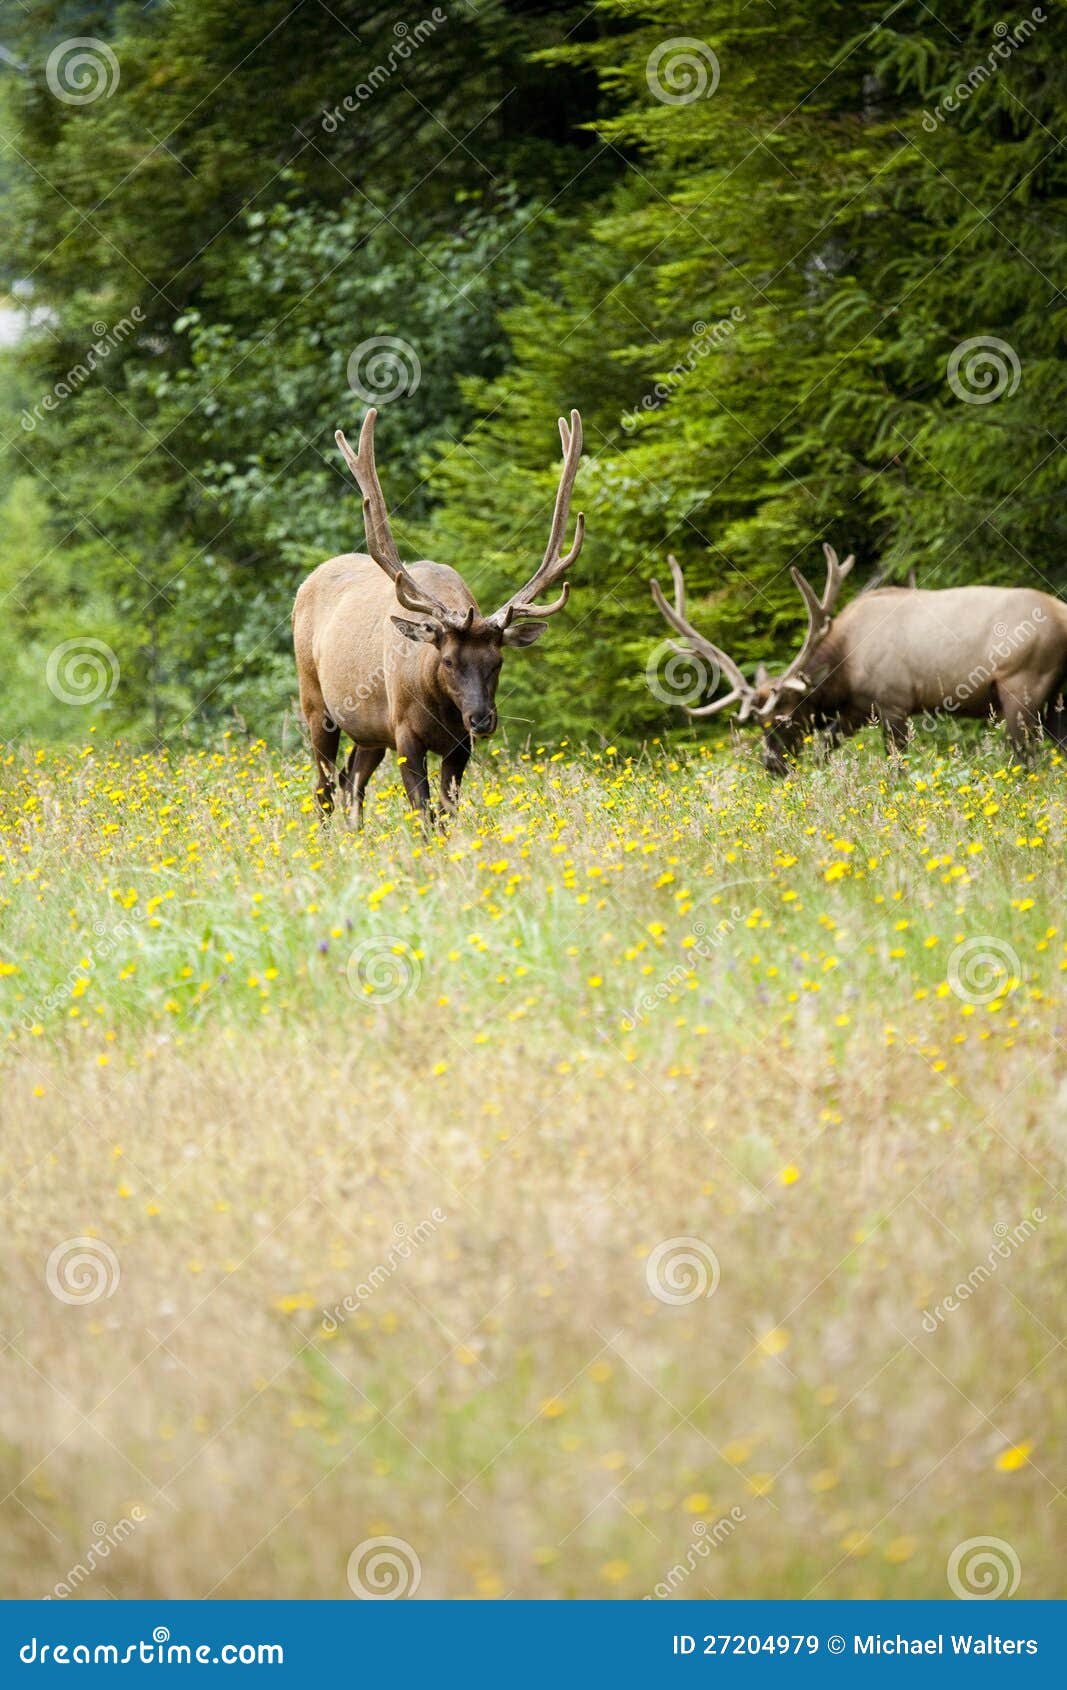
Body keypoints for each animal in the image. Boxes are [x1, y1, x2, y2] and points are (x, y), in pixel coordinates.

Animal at [293, 407, 584, 822]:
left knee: (352, 779)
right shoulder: (404, 733)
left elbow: (447, 810)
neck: (439, 706)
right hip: (316, 703)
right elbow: (423, 811)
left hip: (370, 731)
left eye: (498, 661)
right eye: (447, 660)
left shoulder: (459, 744)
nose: (482, 719)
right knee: (323, 787)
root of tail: (307, 581)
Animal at [651, 546, 1067, 774]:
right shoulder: (856, 709)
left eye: (783, 717)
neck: (843, 670)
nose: (772, 765)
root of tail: (1061, 614)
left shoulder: (894, 701)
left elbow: (896, 765)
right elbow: (825, 747)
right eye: (758, 723)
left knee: (1027, 755)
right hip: (1056, 697)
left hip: (1022, 686)